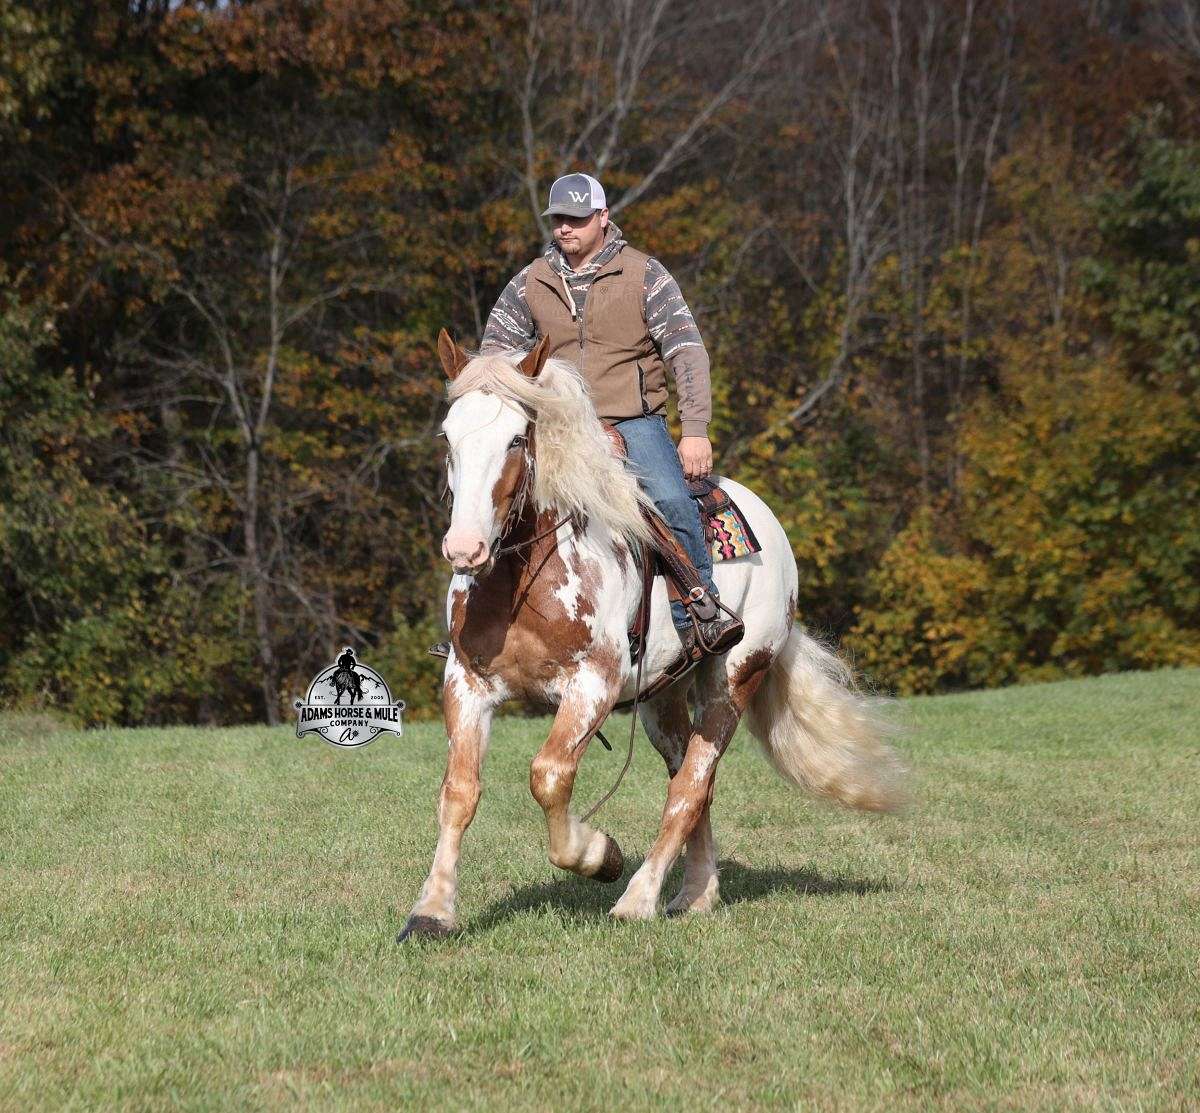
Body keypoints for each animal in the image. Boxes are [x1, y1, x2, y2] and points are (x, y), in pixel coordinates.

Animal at [399, 333, 905, 940]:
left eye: (518, 437)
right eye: (448, 436)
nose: (465, 548)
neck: (524, 582)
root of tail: (770, 527)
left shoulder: (592, 685)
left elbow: (549, 776)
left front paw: (599, 855)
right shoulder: (467, 683)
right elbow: (459, 792)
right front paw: (432, 910)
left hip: (734, 679)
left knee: (689, 787)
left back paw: (638, 897)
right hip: (661, 697)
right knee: (690, 778)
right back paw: (696, 893)